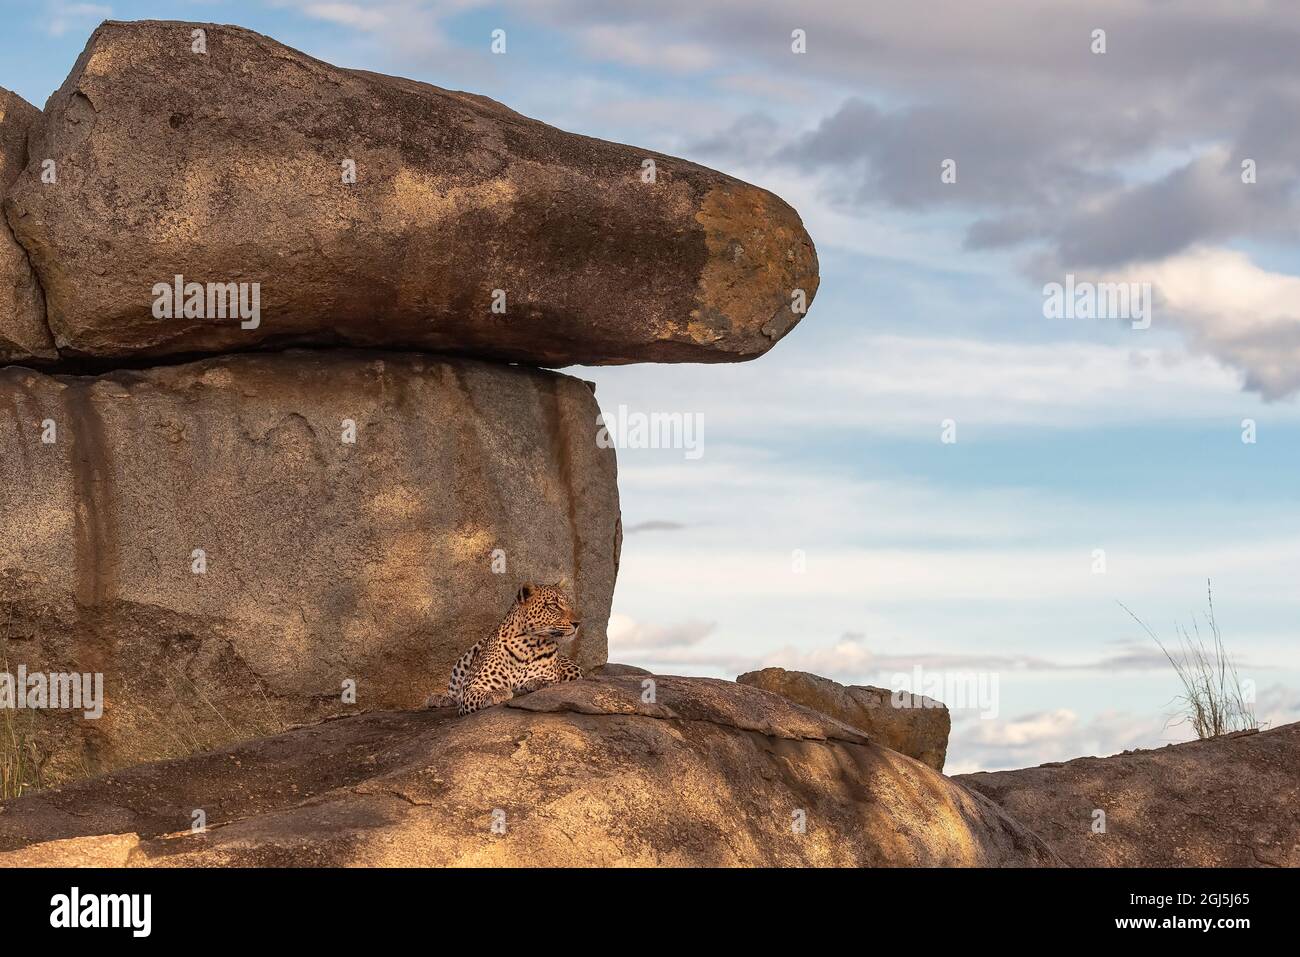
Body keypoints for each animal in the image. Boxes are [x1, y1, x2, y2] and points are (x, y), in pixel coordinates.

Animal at [425, 582, 585, 715]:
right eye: (553, 606)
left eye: (570, 605)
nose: (577, 623)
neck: (528, 645)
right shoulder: (472, 689)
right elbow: (477, 693)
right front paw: (498, 693)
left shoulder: (552, 675)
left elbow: (544, 680)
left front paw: (538, 682)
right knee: (454, 692)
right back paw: (439, 699)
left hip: (575, 670)